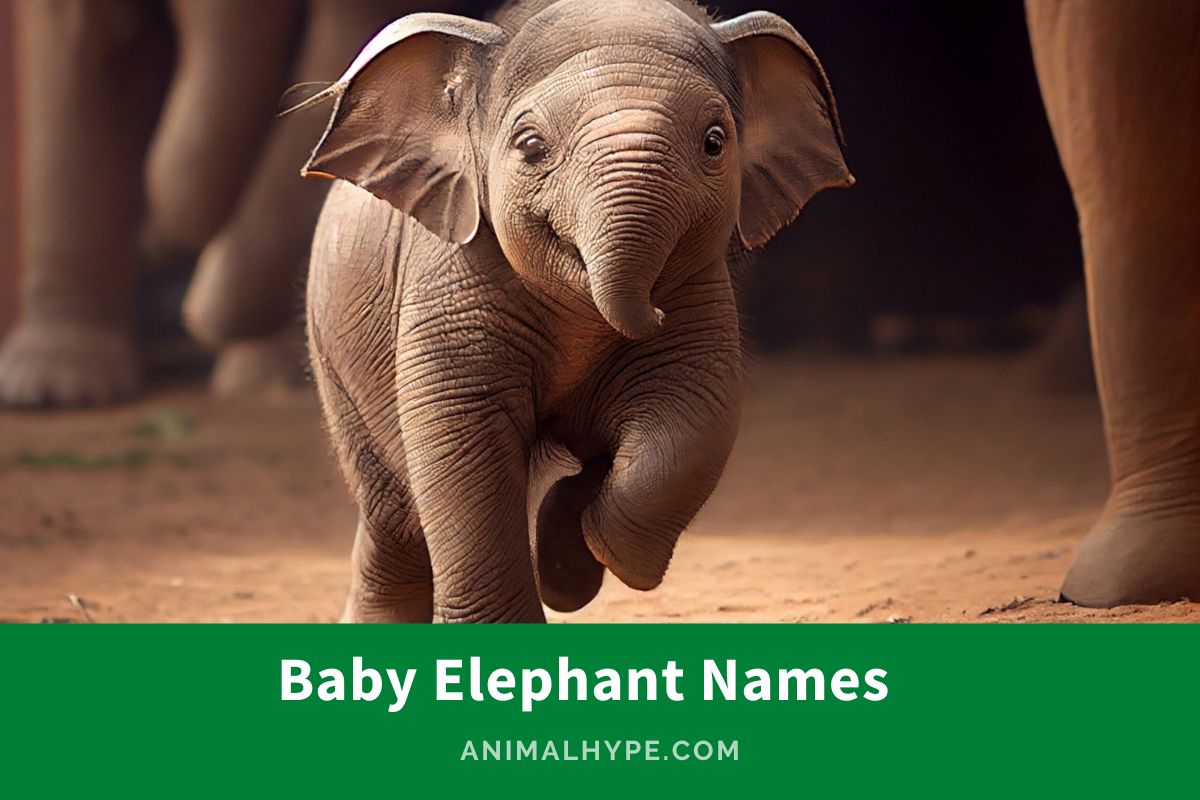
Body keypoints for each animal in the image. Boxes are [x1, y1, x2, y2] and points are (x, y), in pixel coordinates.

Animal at [298, 0, 852, 622]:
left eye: (714, 142)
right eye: (531, 147)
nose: (653, 315)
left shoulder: (701, 292)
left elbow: (694, 416)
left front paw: (582, 560)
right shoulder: (446, 288)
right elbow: (462, 448)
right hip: (335, 361)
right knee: (396, 513)